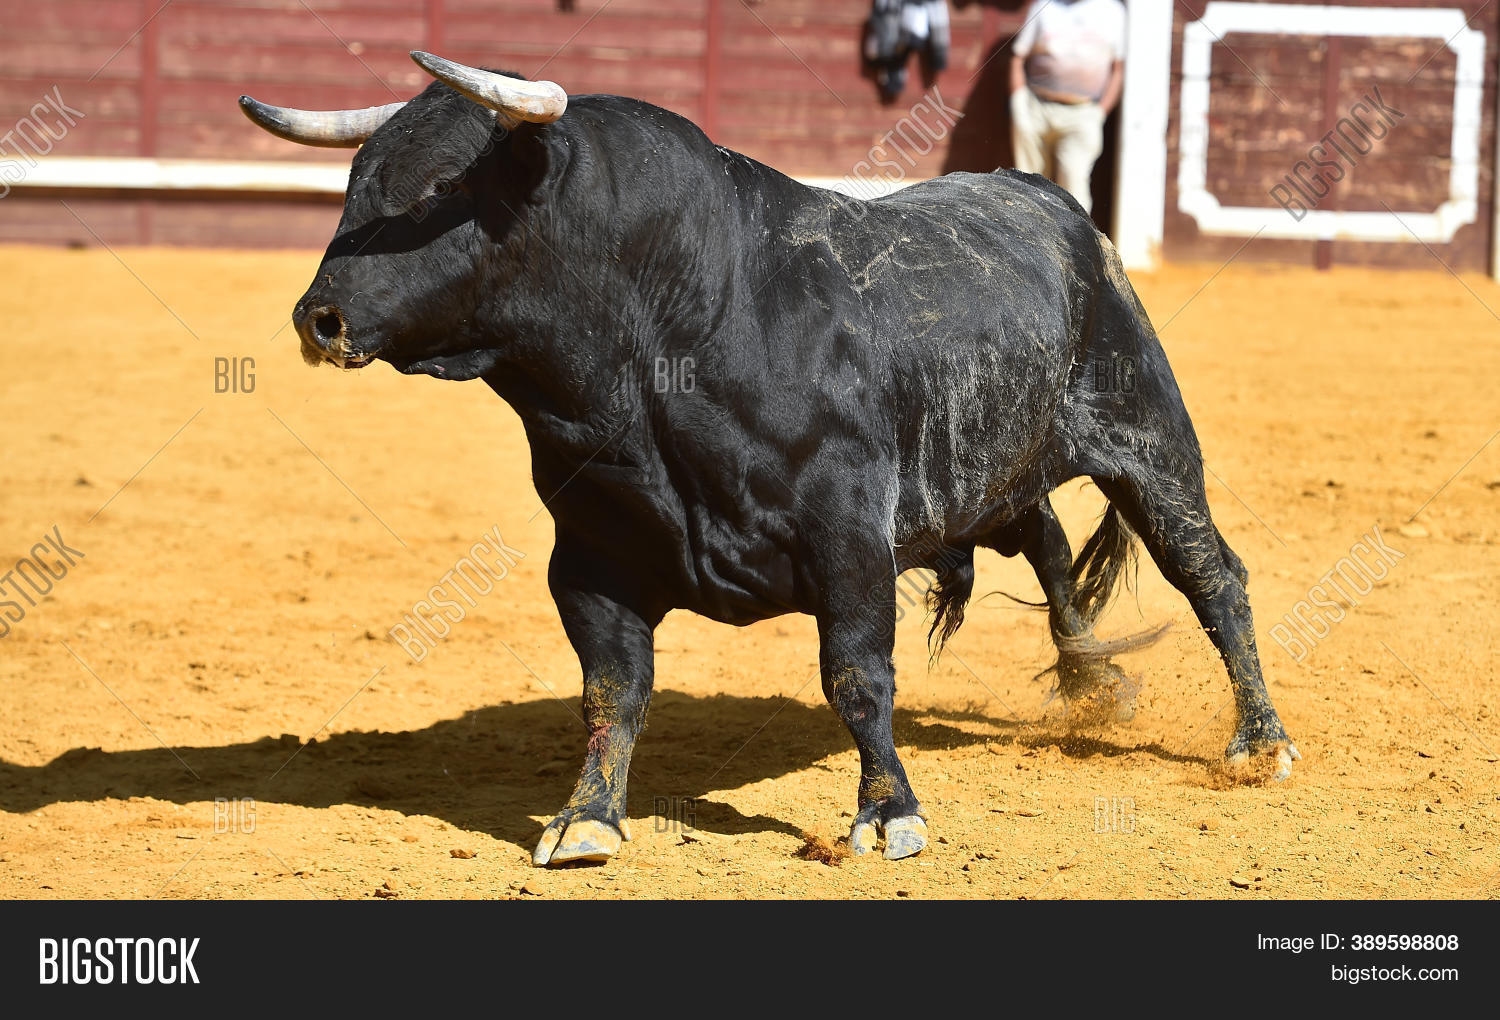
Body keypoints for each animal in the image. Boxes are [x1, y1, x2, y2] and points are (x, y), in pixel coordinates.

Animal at [240, 51, 1298, 867]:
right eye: (355, 184)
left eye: (437, 191)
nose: (317, 318)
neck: (671, 326)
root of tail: (1053, 205)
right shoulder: (587, 559)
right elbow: (611, 688)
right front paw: (585, 821)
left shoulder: (849, 537)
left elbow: (857, 676)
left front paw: (888, 815)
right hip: (994, 468)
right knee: (1046, 542)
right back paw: (1088, 685)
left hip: (1150, 443)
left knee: (1213, 575)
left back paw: (1260, 743)